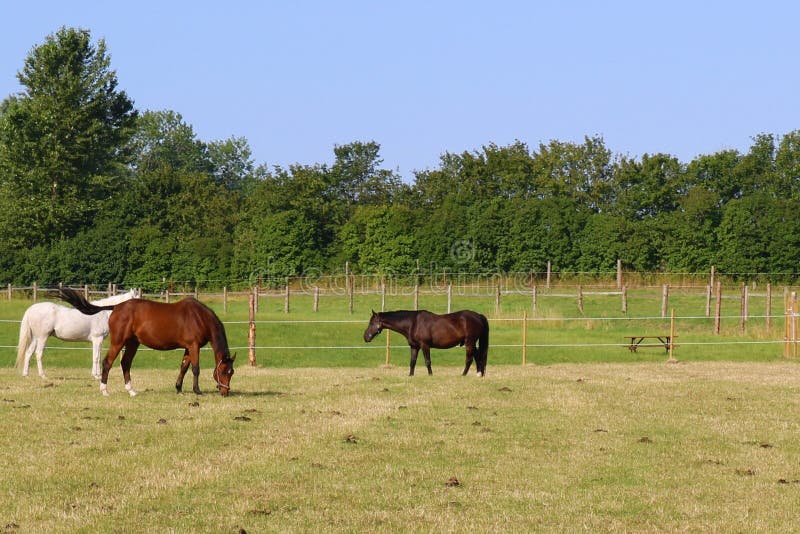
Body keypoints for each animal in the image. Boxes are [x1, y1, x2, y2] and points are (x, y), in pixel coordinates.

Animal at [56, 287, 235, 397]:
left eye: (231, 372)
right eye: (224, 372)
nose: (225, 392)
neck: (199, 317)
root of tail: (116, 307)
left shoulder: (188, 348)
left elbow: (183, 368)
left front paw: (179, 389)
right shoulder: (193, 346)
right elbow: (195, 369)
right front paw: (197, 391)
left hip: (133, 343)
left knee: (125, 363)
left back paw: (131, 391)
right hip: (118, 342)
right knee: (108, 362)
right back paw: (105, 390)